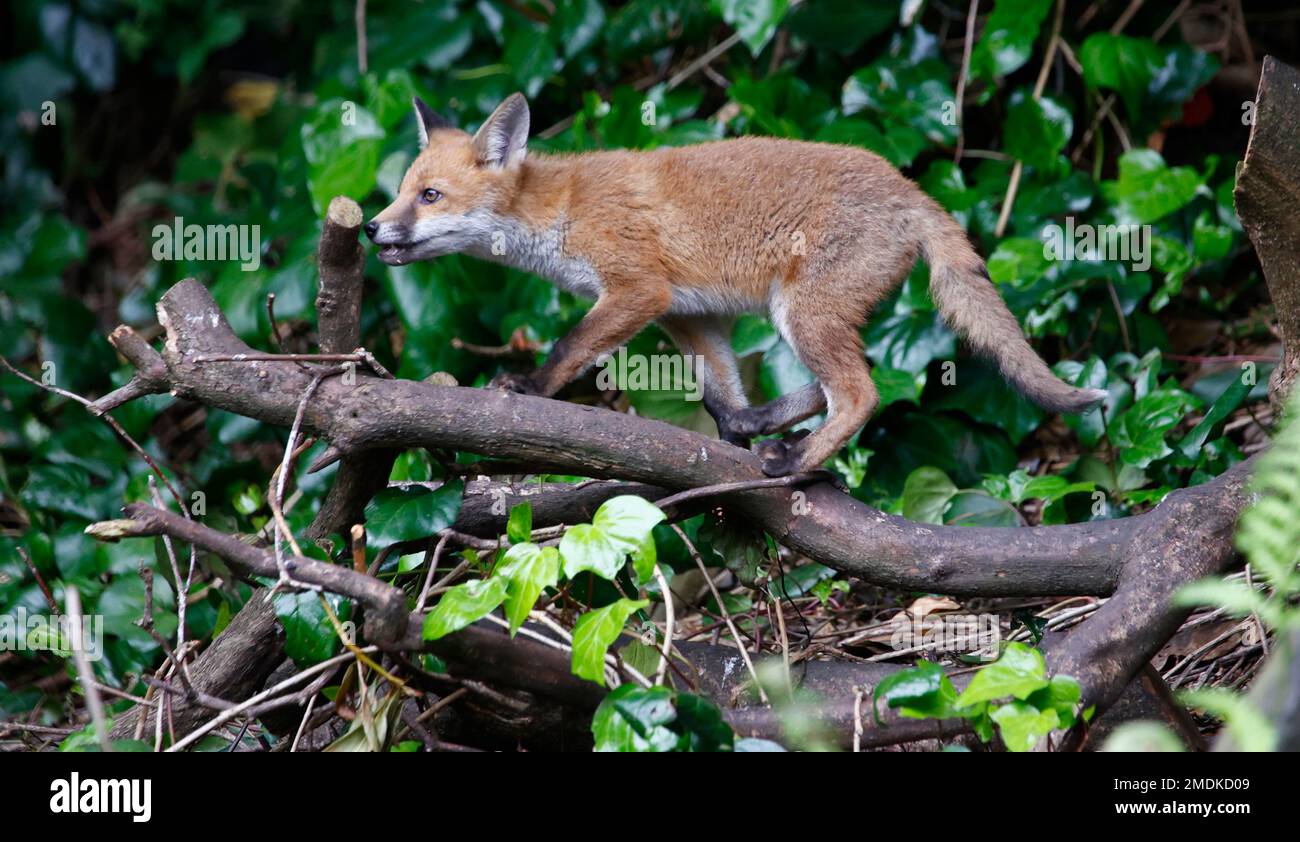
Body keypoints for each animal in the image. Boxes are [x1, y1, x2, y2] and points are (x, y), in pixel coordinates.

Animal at [365, 94, 1107, 477]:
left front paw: (528, 388)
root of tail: (911, 188)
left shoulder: (638, 291)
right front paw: (731, 438)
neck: (561, 210)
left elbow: (569, 347)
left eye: (430, 196)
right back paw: (772, 429)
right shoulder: (687, 314)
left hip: (803, 313)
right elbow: (718, 390)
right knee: (843, 384)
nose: (372, 228)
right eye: (402, 192)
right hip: (800, 317)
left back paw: (800, 458)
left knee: (861, 393)